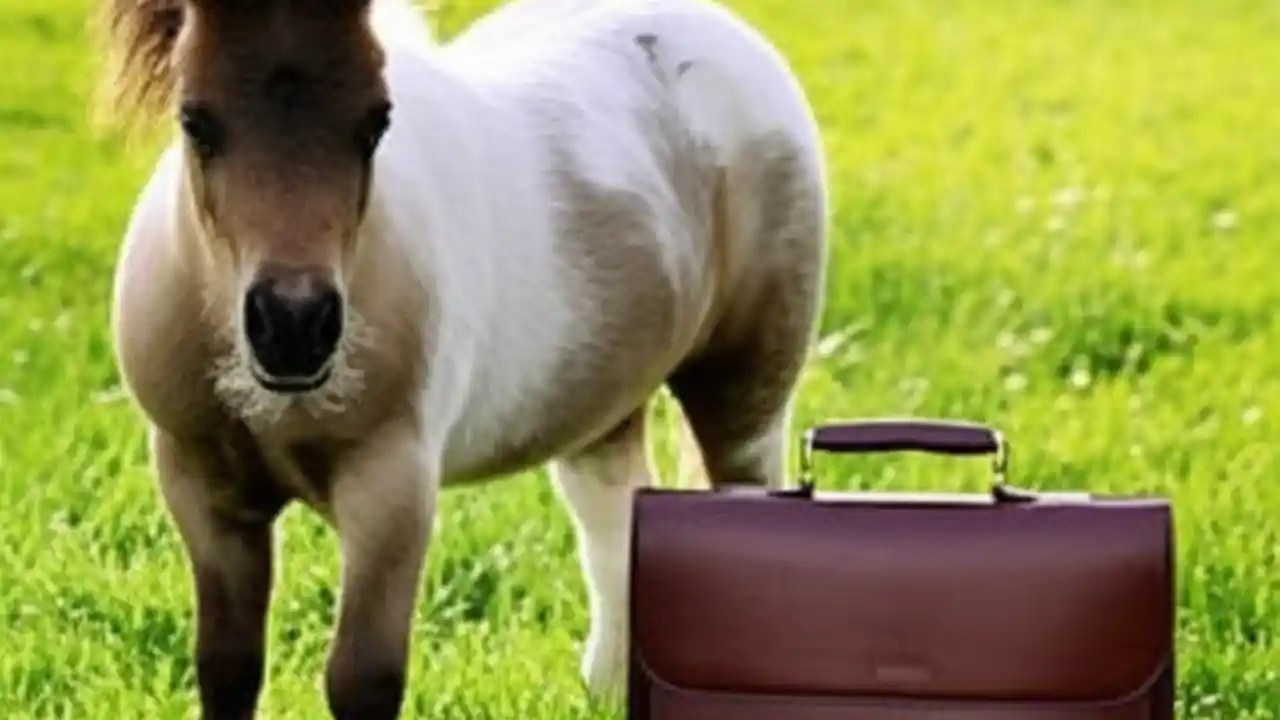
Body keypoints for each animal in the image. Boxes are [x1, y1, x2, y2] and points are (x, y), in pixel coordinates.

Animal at [104, 0, 828, 716]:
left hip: (746, 392)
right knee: (614, 530)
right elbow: (227, 669)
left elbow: (362, 680)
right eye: (195, 120)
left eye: (377, 120)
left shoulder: (390, 487)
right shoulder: (202, 490)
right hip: (601, 409)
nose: (293, 325)